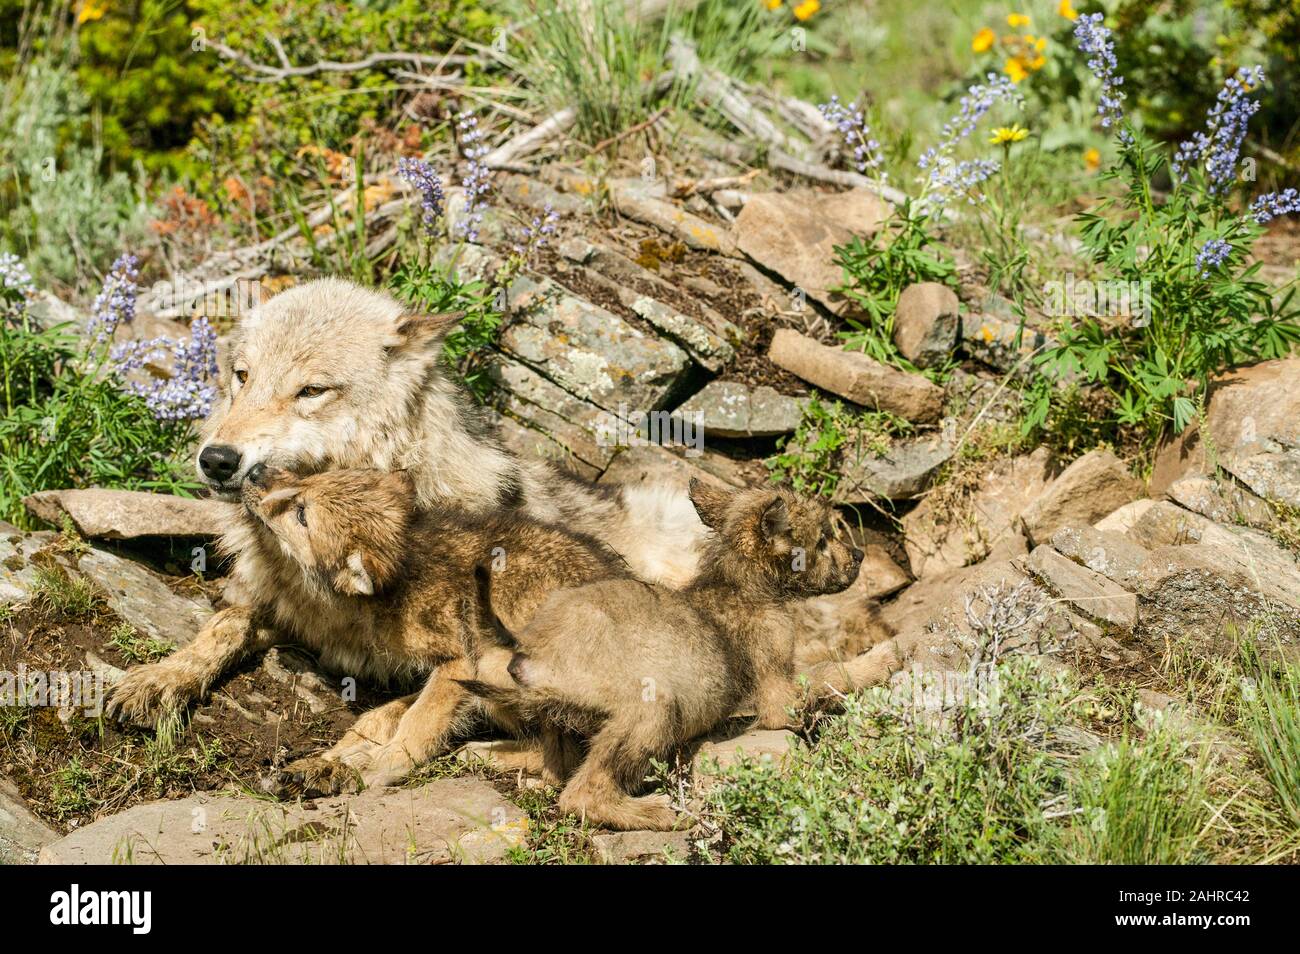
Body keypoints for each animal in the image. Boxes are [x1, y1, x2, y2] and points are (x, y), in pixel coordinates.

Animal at [464, 479, 900, 831]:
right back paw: (658, 811)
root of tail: (529, 658)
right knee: (580, 794)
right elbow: (830, 673)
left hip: (559, 722)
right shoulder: (779, 696)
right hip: (654, 706)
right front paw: (885, 657)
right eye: (823, 540)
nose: (860, 556)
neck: (738, 581)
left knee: (559, 770)